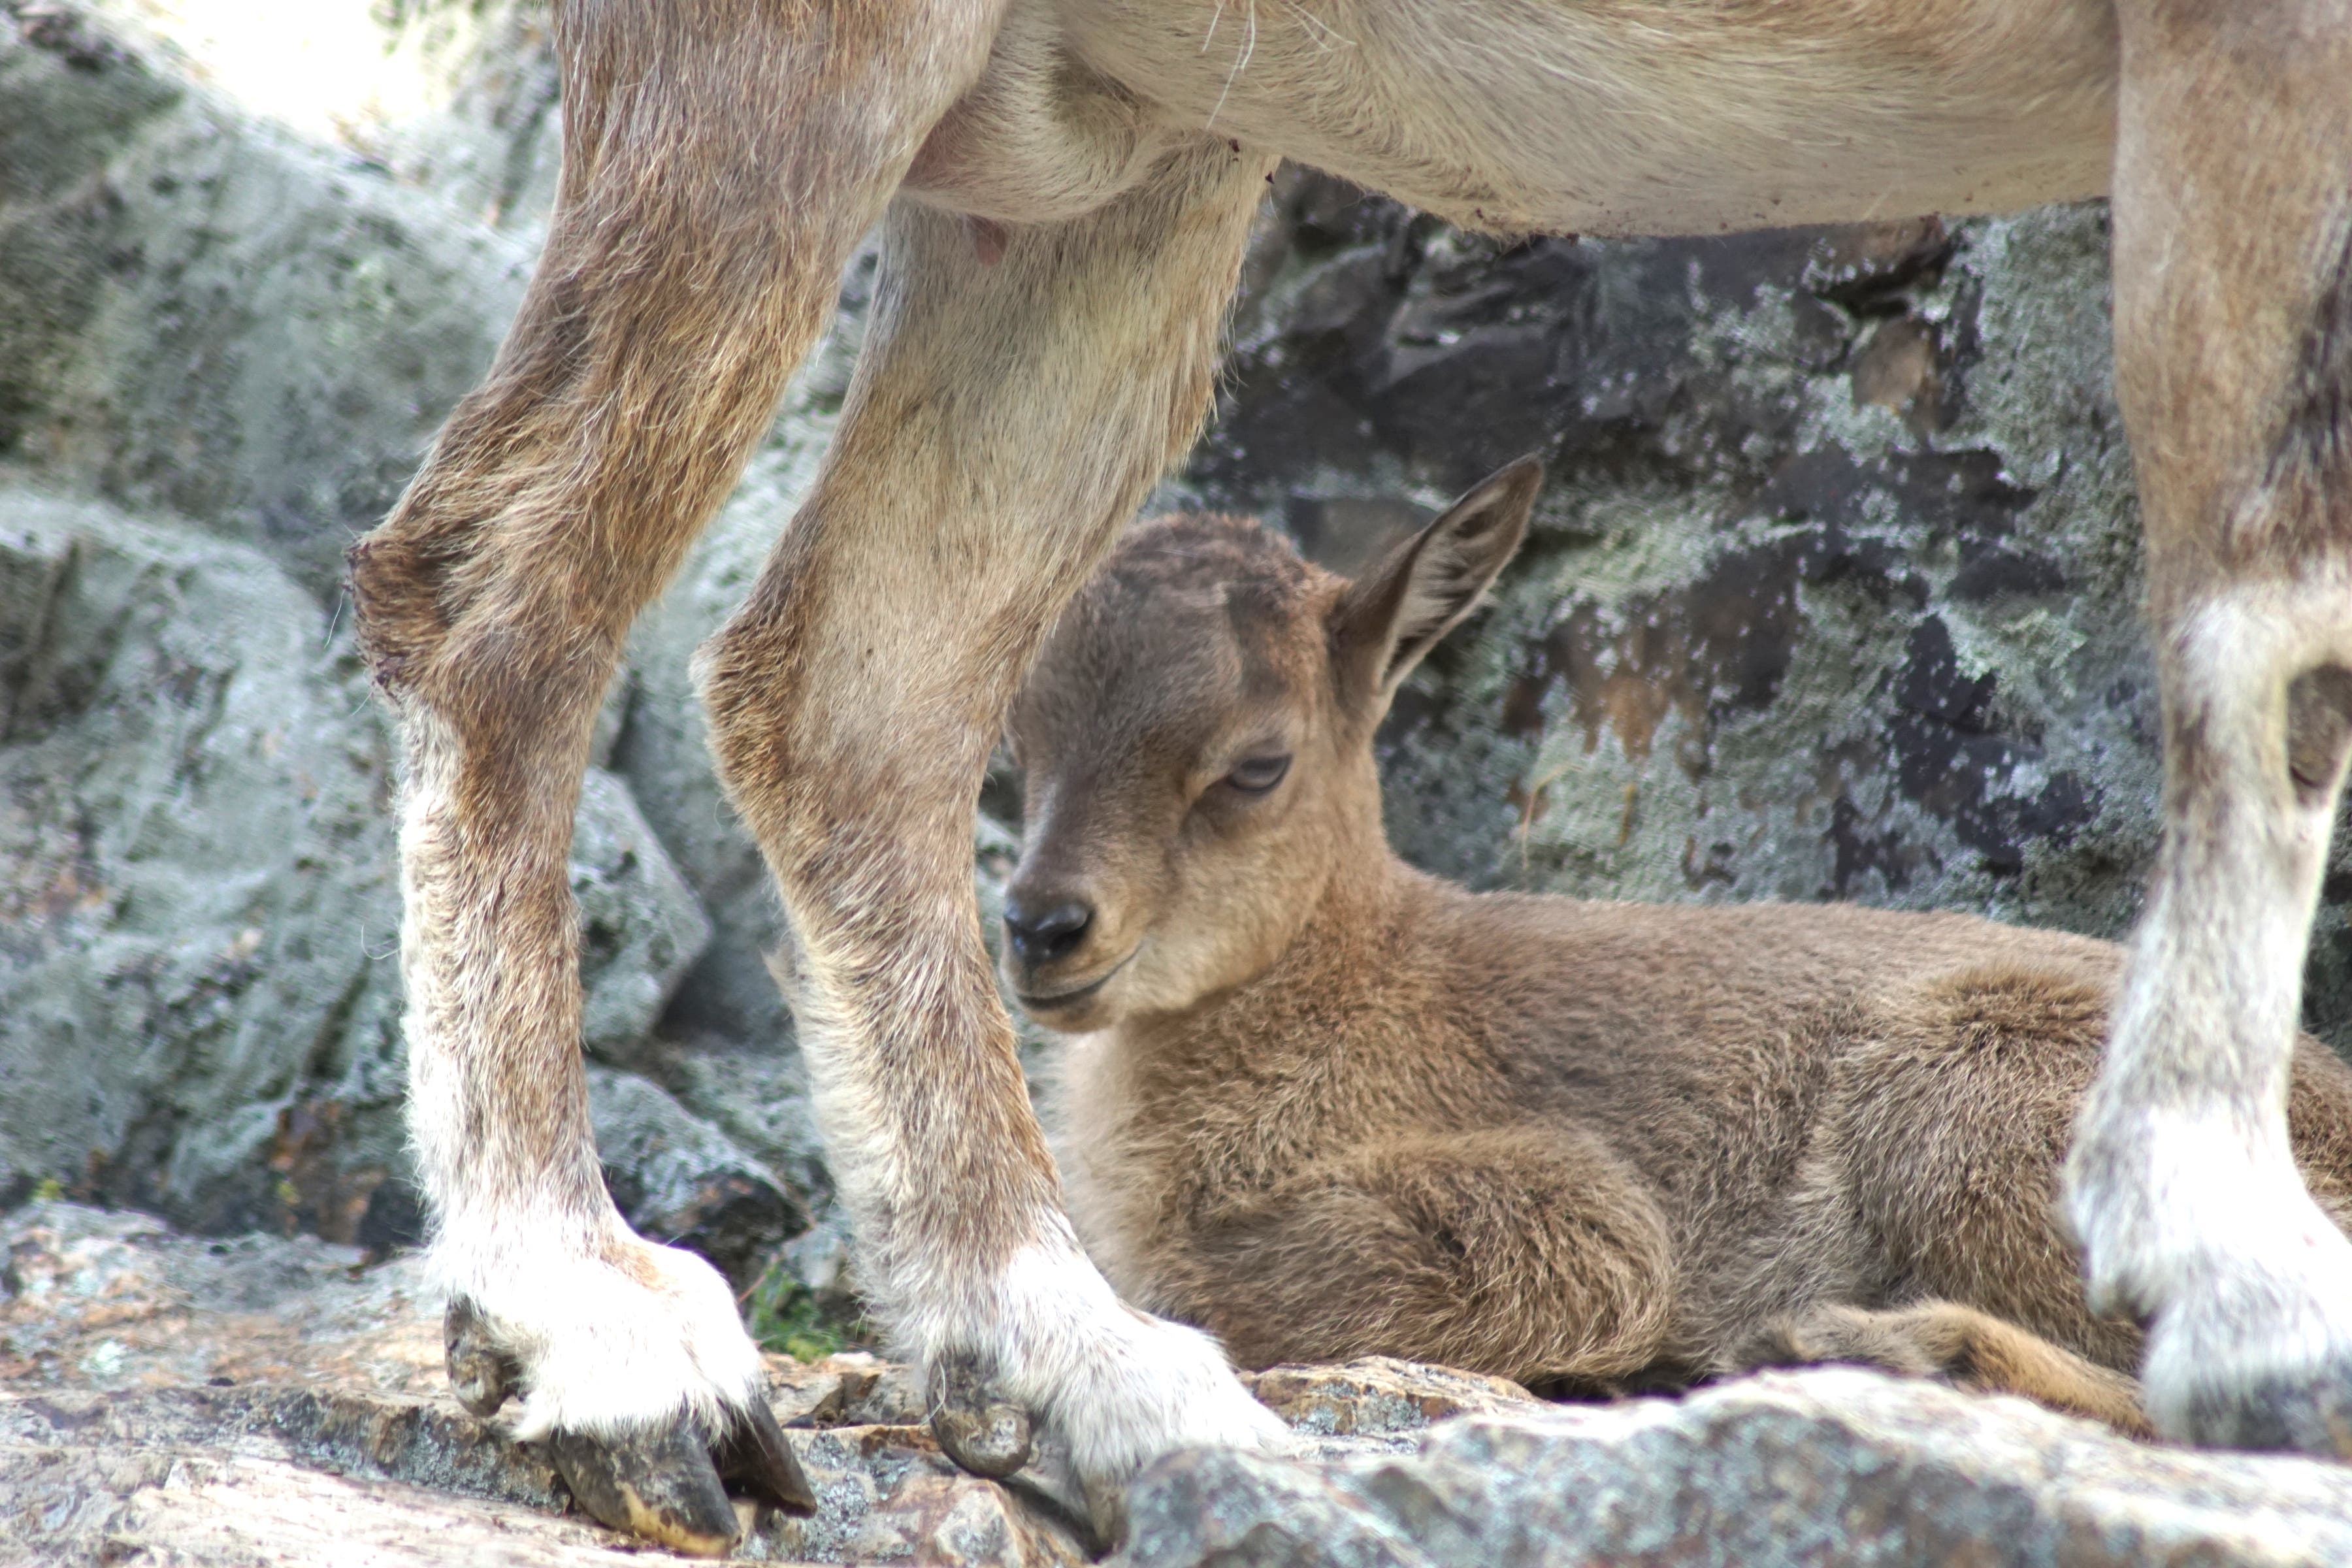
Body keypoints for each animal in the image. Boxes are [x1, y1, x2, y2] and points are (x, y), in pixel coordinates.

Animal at [1004, 460, 2352, 1437]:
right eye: (1017, 731)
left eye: (1255, 763)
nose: (1041, 926)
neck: (1351, 984)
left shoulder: (1572, 1212)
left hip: (1971, 1102)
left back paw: (1876, 1346)